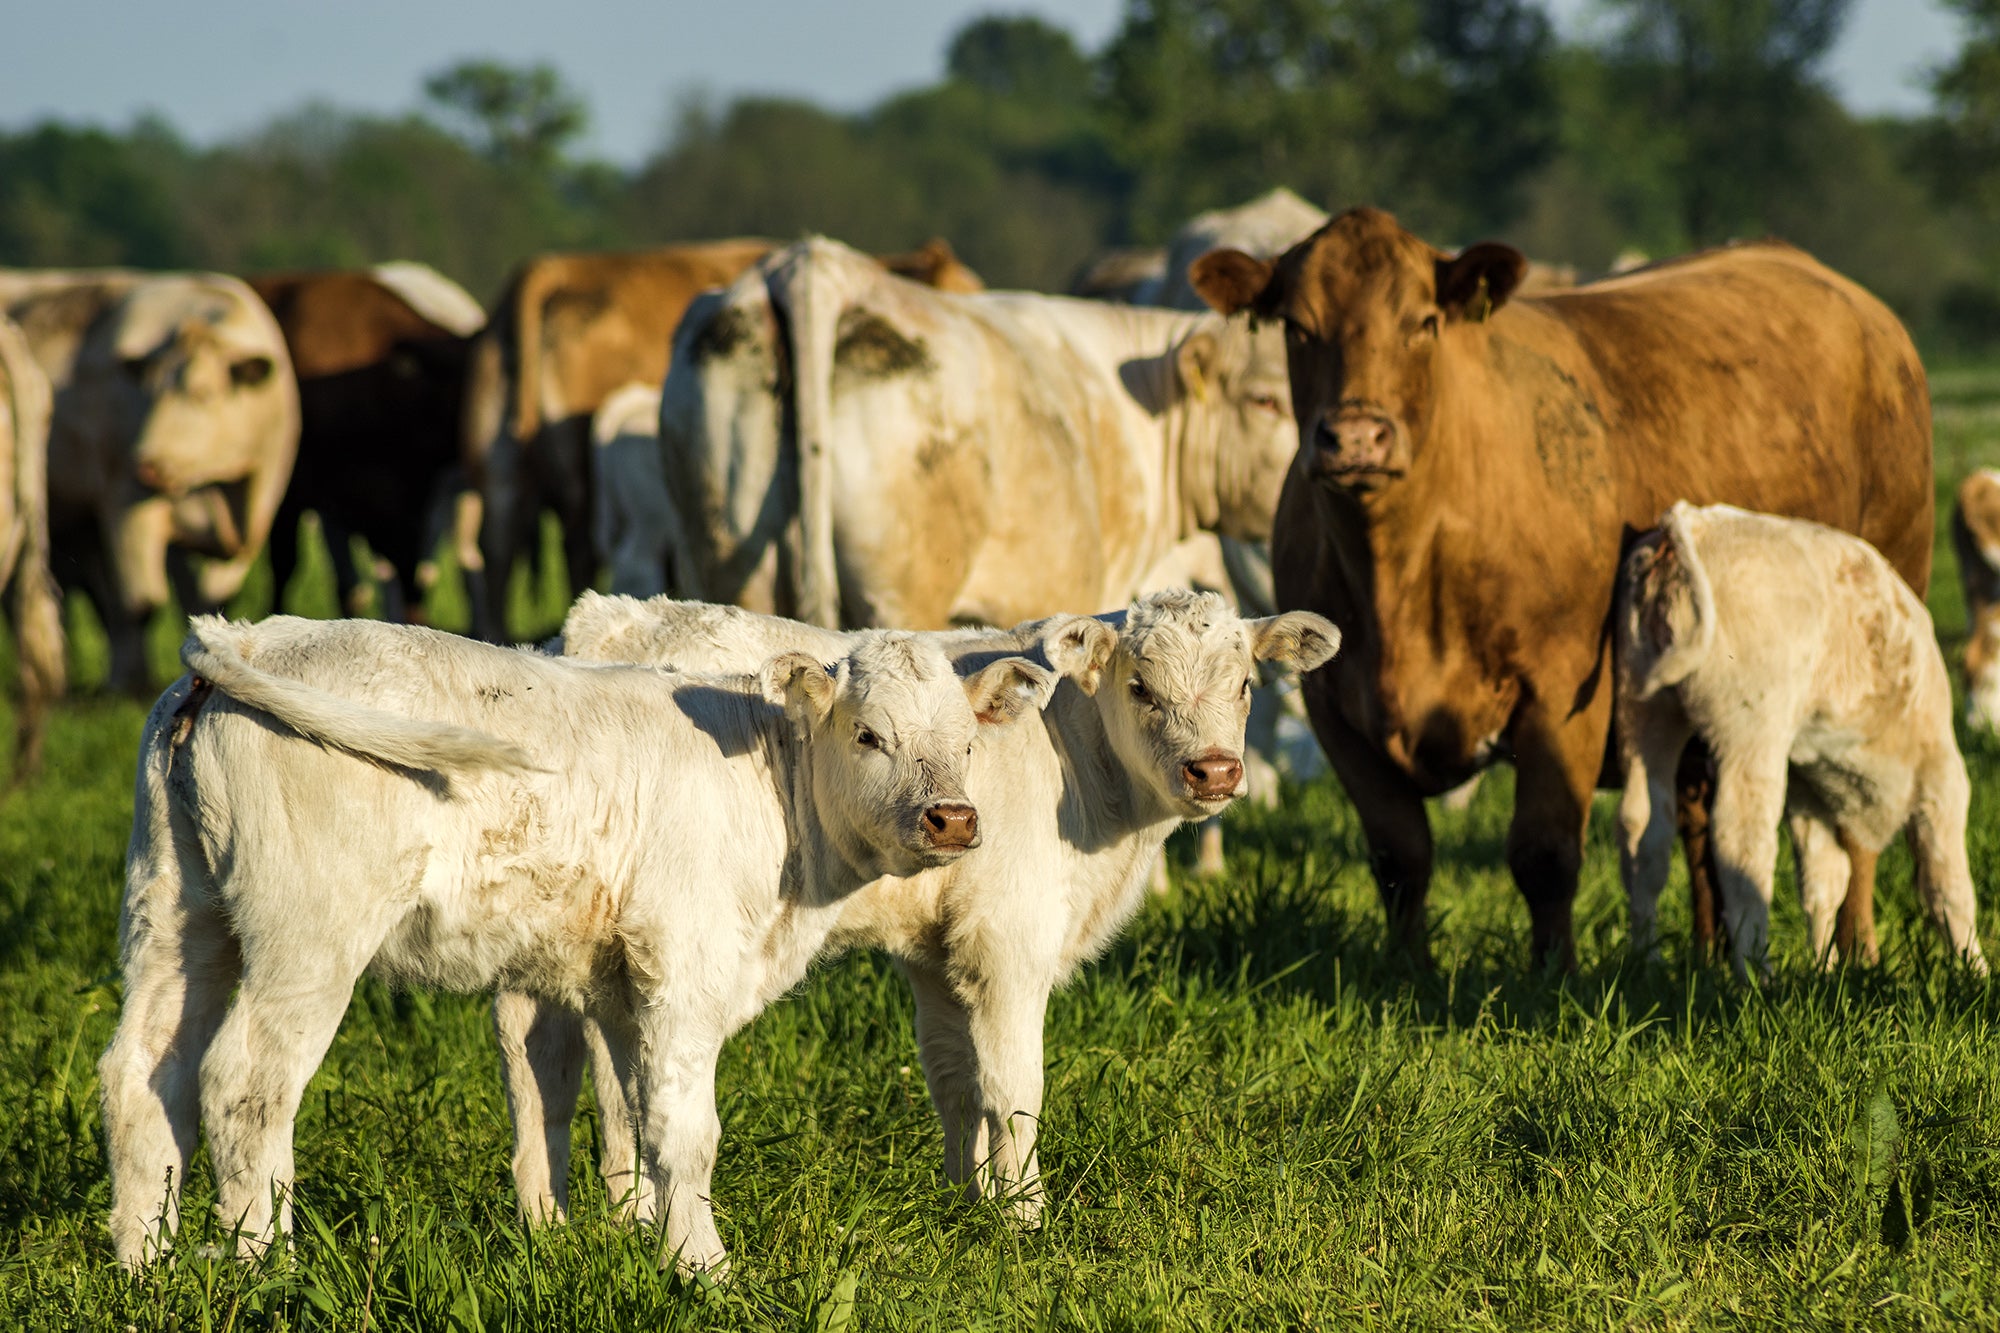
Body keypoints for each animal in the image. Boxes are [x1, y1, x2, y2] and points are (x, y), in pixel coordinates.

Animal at [1, 272, 299, 693]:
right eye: (148, 392)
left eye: (204, 393)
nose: (147, 464)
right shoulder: (127, 504)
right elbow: (140, 603)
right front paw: (130, 684)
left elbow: (208, 601)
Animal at [98, 612, 1055, 1274]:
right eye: (867, 734)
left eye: (966, 743)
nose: (953, 817)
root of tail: (251, 638)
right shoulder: (686, 963)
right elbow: (685, 1127)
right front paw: (706, 1268)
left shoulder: (623, 985)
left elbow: (632, 1114)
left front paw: (649, 1244)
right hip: (310, 937)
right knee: (245, 1086)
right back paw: (267, 1268)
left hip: (178, 918)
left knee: (145, 1073)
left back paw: (145, 1264)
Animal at [493, 588, 1339, 1232]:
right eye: (1140, 686)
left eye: (1245, 684)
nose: (1216, 770)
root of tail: (610, 615)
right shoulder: (1008, 944)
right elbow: (1014, 1088)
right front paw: (1025, 1218)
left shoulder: (938, 953)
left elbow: (956, 1080)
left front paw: (969, 1202)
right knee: (612, 1081)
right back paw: (632, 1215)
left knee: (537, 1060)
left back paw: (548, 1219)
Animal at [1190, 208, 1933, 969]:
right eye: (1297, 326)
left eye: (1423, 321)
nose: (1357, 437)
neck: (1399, 572)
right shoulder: (1336, 709)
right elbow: (1401, 856)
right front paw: (1408, 970)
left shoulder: (1563, 692)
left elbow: (1543, 852)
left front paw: (1554, 972)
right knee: (1702, 817)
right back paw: (1710, 951)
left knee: (1856, 821)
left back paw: (1857, 949)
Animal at [1616, 503, 1984, 979]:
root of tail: (1692, 520)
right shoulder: (1943, 779)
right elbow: (1950, 889)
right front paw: (1976, 972)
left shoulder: (1808, 791)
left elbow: (1824, 878)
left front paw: (1824, 969)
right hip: (1751, 730)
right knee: (1741, 842)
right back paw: (1757, 974)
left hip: (1644, 713)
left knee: (1643, 832)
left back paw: (1647, 962)